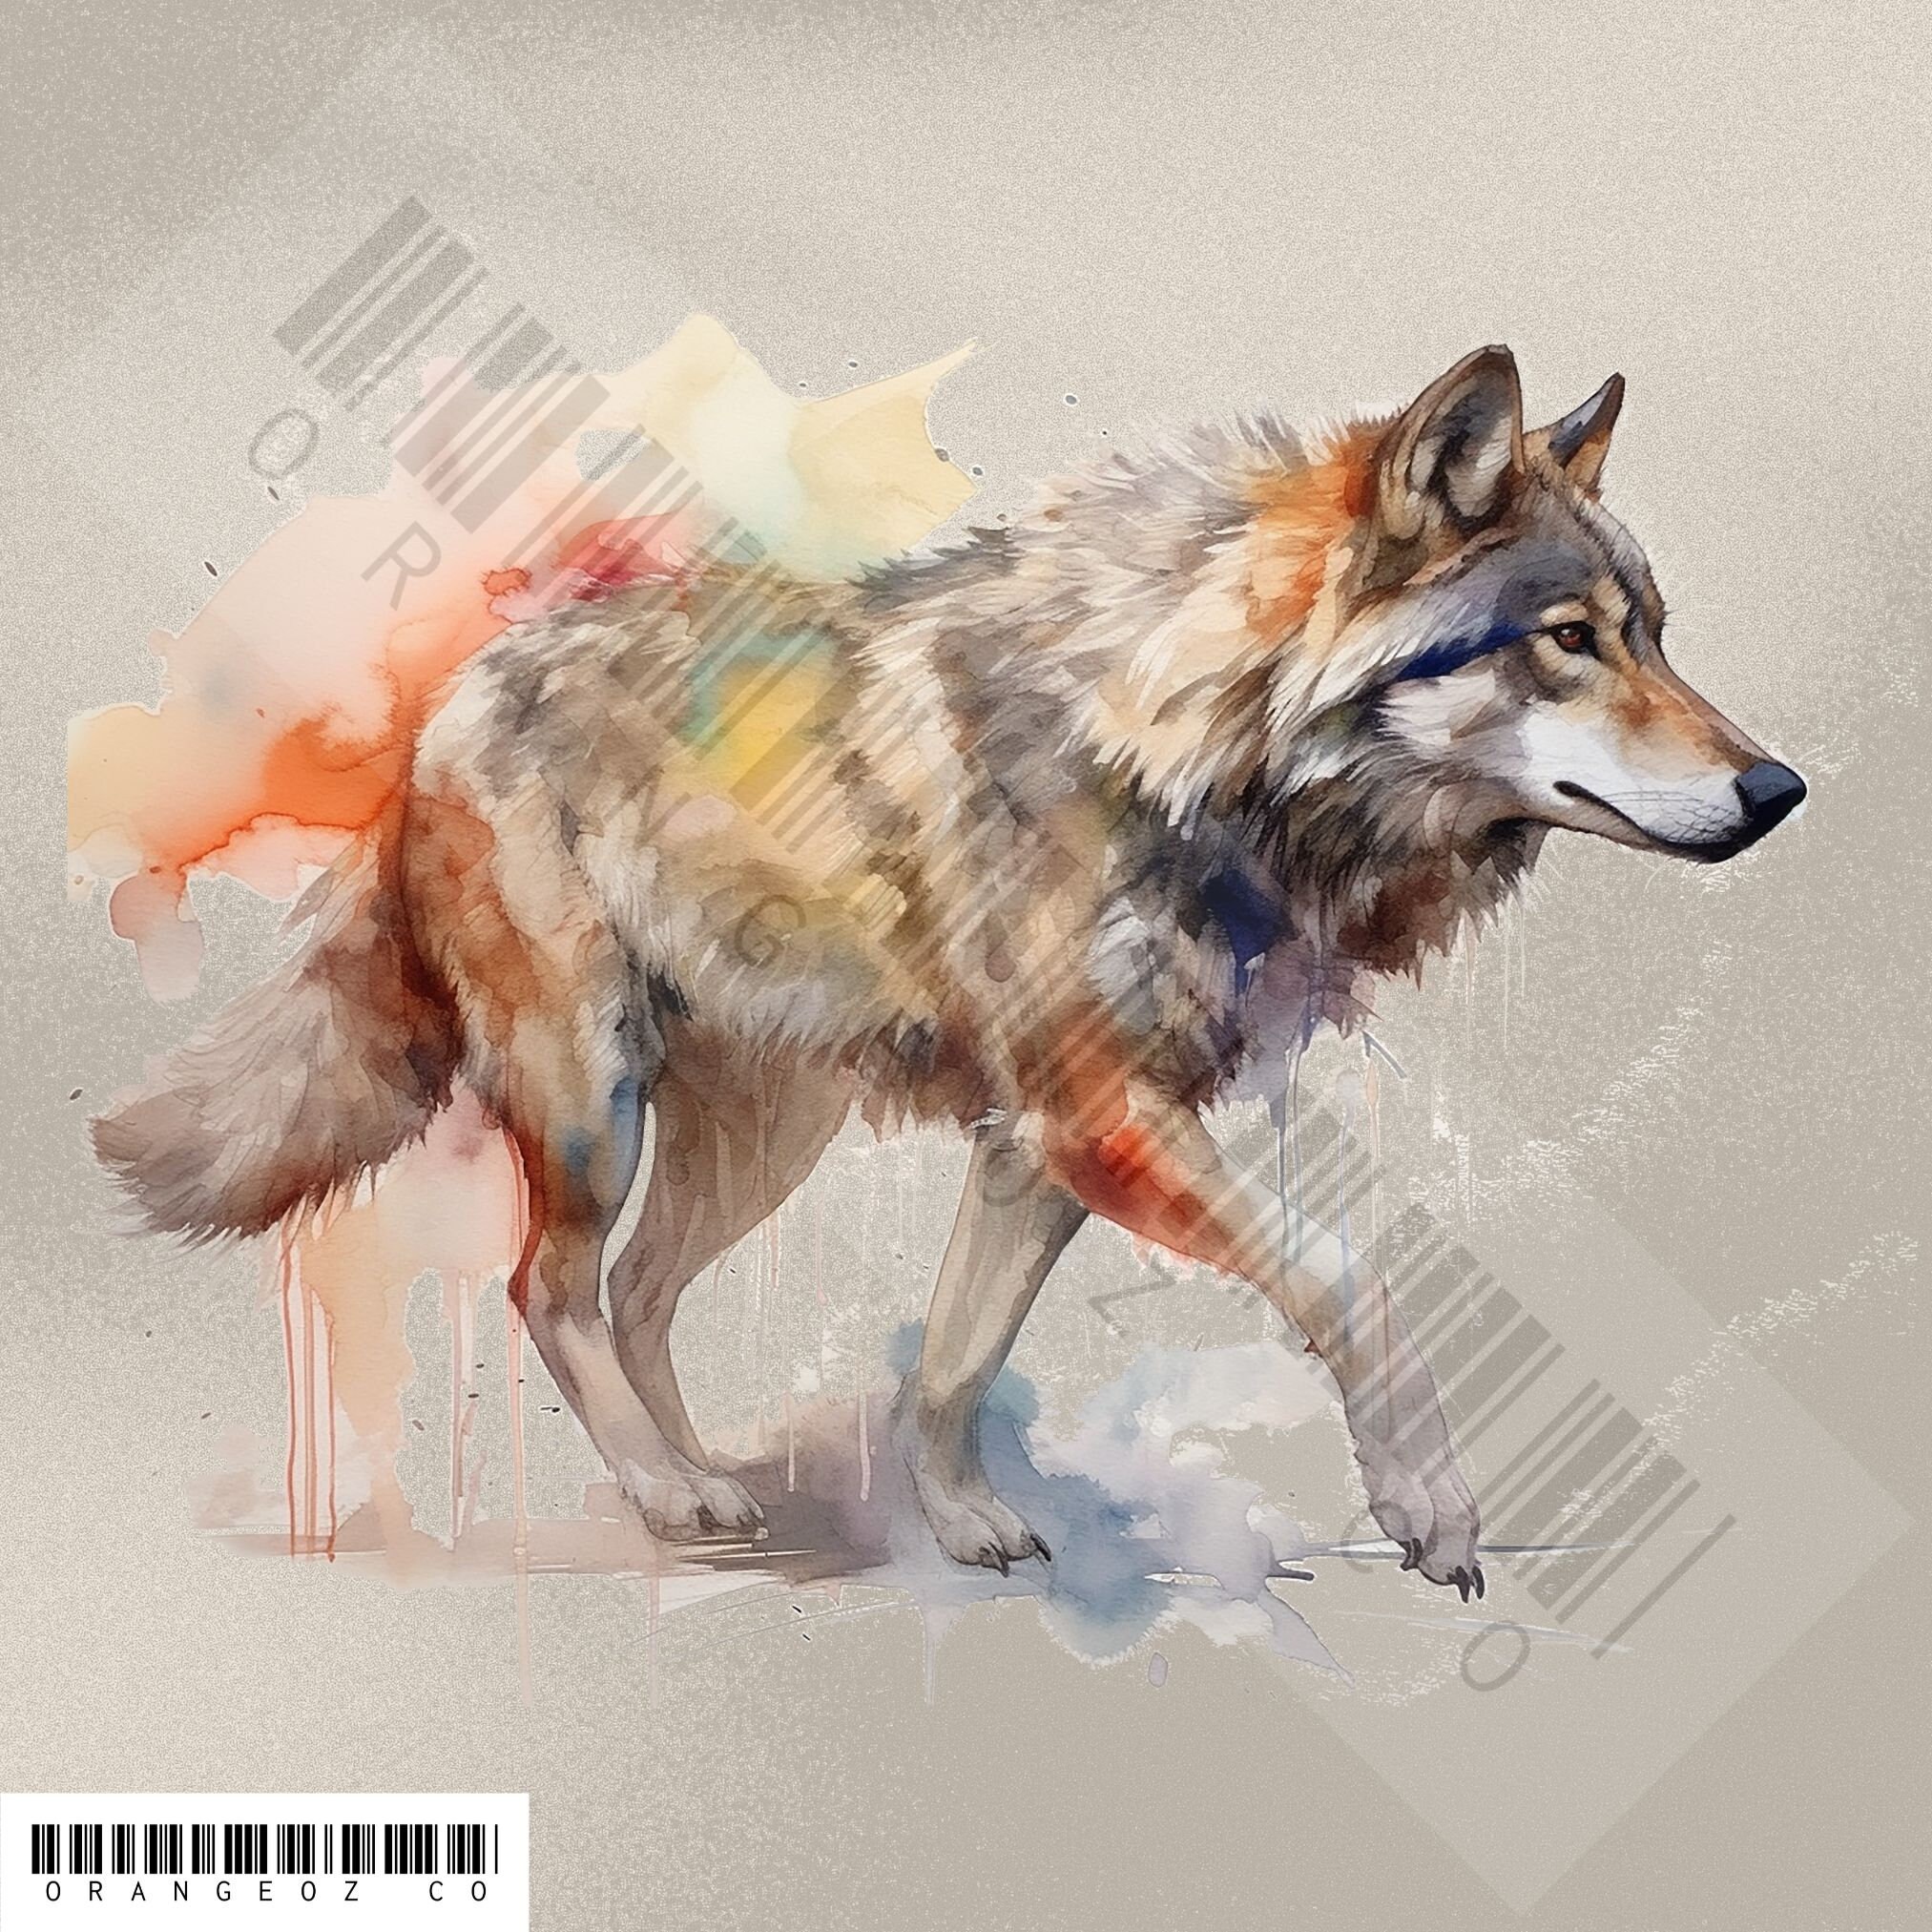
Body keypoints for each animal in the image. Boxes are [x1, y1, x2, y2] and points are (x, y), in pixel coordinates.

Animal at [94, 346, 1806, 1597]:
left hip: (759, 1144)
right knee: (548, 1284)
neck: (1198, 752)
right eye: (1567, 638)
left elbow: (957, 1362)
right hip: (593, 1108)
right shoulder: (1103, 1119)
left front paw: (962, 1520)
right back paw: (666, 1499)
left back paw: (709, 1477)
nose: (1781, 789)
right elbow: (1347, 1281)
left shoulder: (1036, 1149)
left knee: (636, 1295)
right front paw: (1431, 1512)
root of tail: (442, 716)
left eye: (1655, 632)